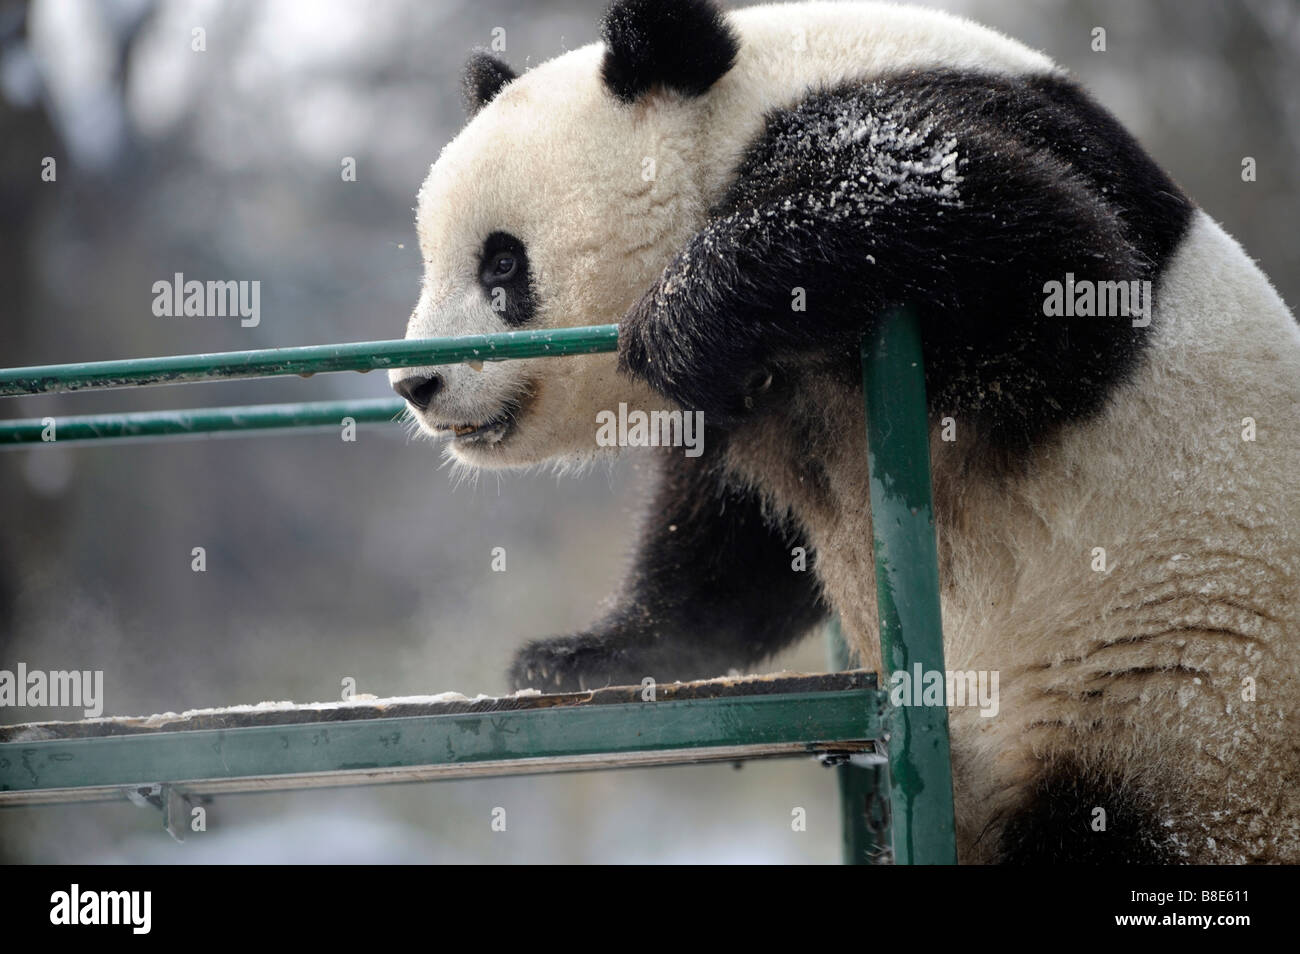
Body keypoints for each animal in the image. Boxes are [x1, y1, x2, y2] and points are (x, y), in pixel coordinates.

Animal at [389, 0, 1300, 864]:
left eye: (502, 263)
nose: (415, 384)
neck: (732, 115)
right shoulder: (767, 408)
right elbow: (729, 549)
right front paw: (576, 657)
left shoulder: (913, 120)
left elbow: (1044, 258)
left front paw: (682, 315)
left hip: (1173, 711)